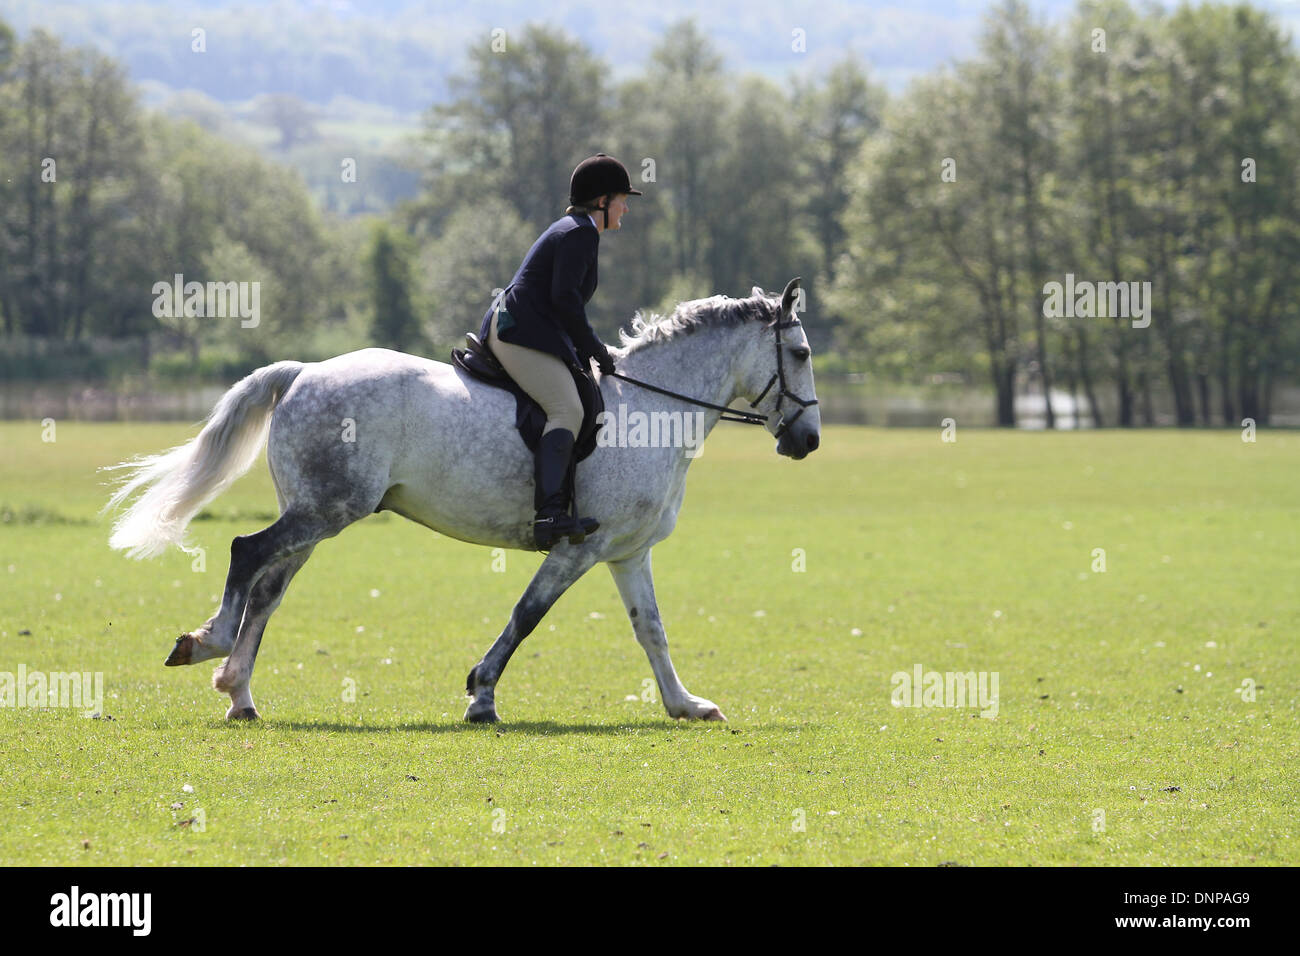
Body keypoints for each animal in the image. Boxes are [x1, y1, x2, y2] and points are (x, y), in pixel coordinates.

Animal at [104, 277, 821, 723]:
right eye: (801, 351)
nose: (809, 440)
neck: (652, 410)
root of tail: (304, 371)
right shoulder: (578, 546)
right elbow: (526, 616)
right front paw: (481, 698)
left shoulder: (625, 552)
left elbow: (652, 629)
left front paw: (685, 705)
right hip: (328, 511)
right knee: (246, 554)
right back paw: (210, 646)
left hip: (316, 515)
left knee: (269, 590)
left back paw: (240, 695)